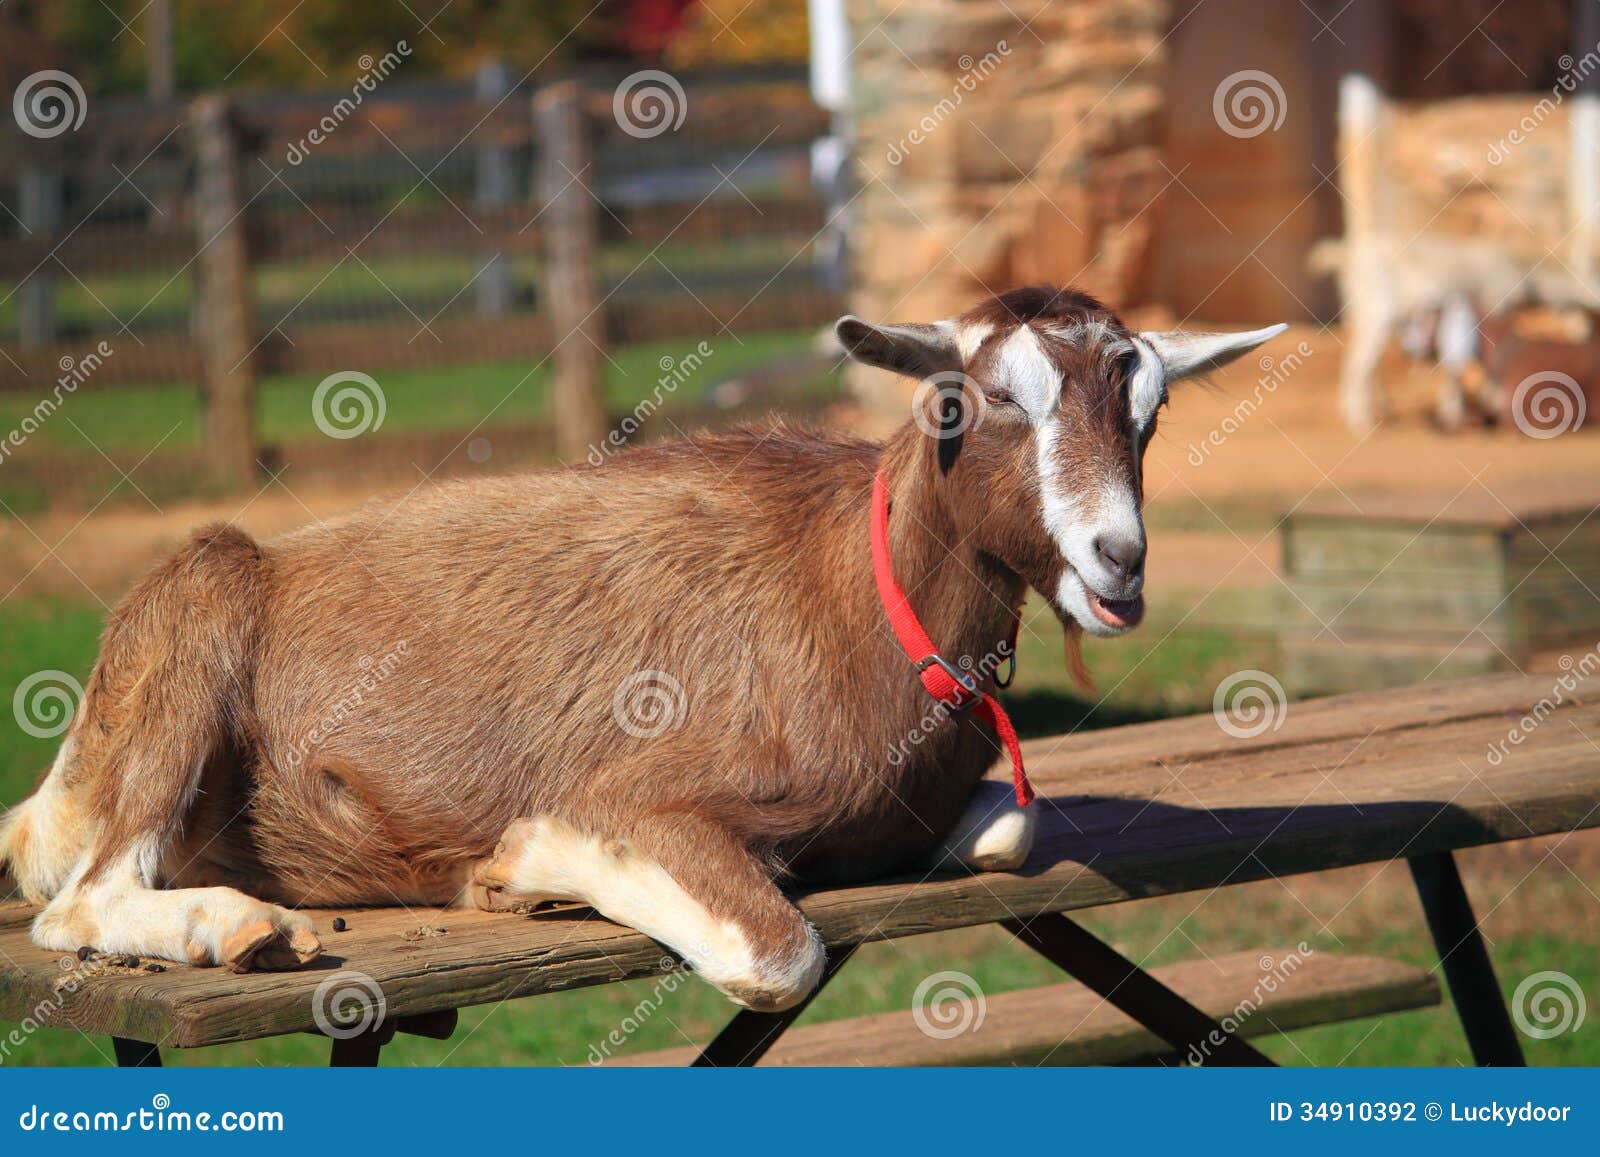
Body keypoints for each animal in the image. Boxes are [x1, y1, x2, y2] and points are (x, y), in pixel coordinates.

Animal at [0, 286, 1283, 1010]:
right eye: (976, 400)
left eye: (1152, 408)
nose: (1118, 561)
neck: (856, 591)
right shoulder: (653, 794)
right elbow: (776, 950)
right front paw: (526, 860)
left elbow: (1013, 828)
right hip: (192, 624)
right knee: (78, 901)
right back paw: (243, 928)